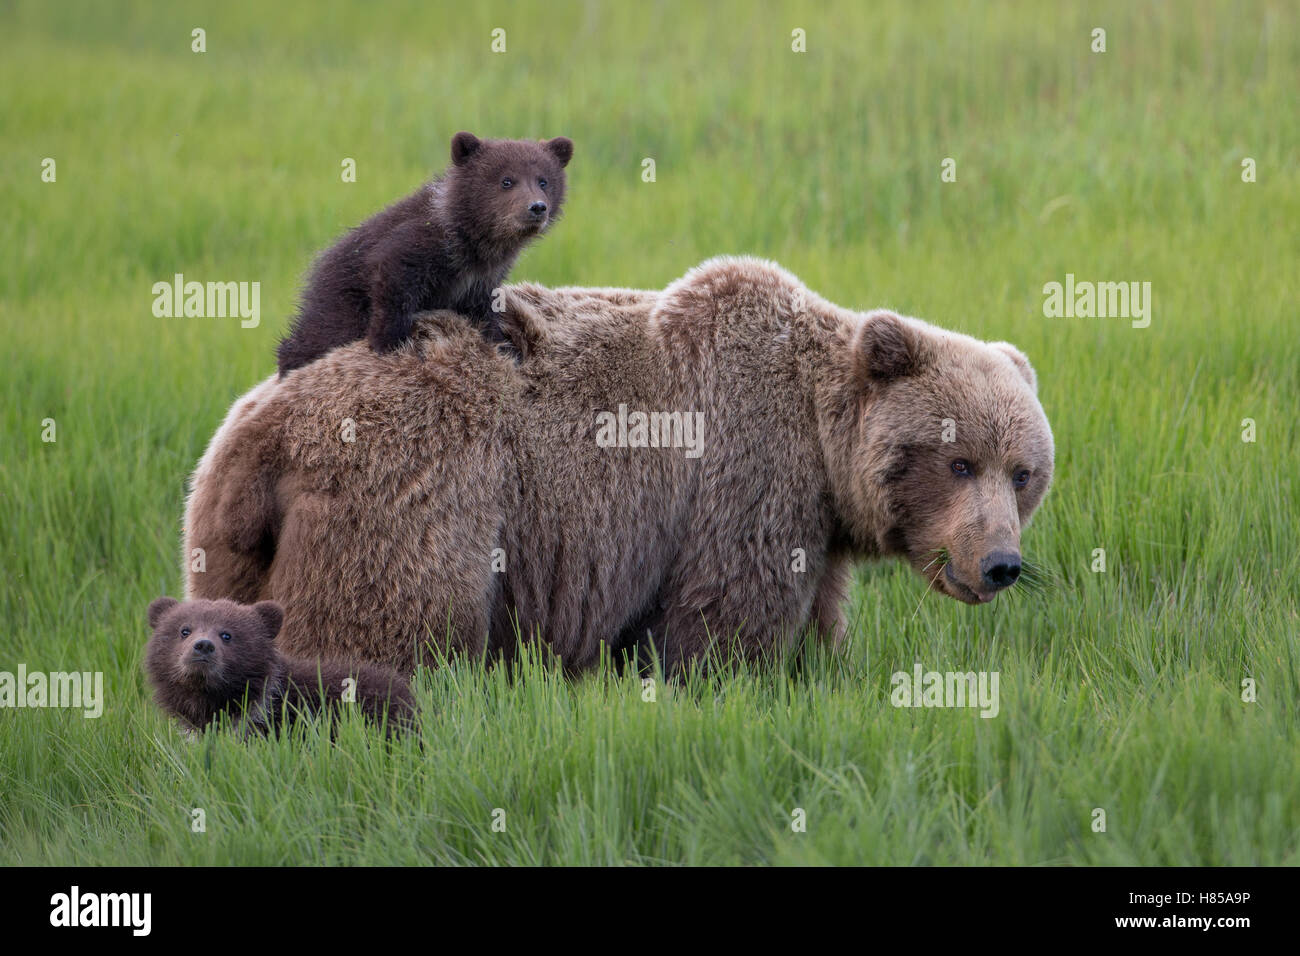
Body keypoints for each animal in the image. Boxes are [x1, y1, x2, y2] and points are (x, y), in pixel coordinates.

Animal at [184, 257, 1054, 677]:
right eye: (959, 460)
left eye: (1023, 472)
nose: (1001, 563)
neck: (820, 435)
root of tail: (260, 431)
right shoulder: (747, 473)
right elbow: (725, 620)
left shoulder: (813, 519)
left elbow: (814, 620)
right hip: (403, 503)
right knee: (375, 635)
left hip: (226, 548)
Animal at [275, 131, 574, 374]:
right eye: (507, 181)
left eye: (543, 181)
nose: (536, 207)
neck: (477, 243)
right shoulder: (419, 246)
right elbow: (393, 281)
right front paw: (391, 345)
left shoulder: (482, 277)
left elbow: (484, 310)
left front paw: (505, 345)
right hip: (339, 300)